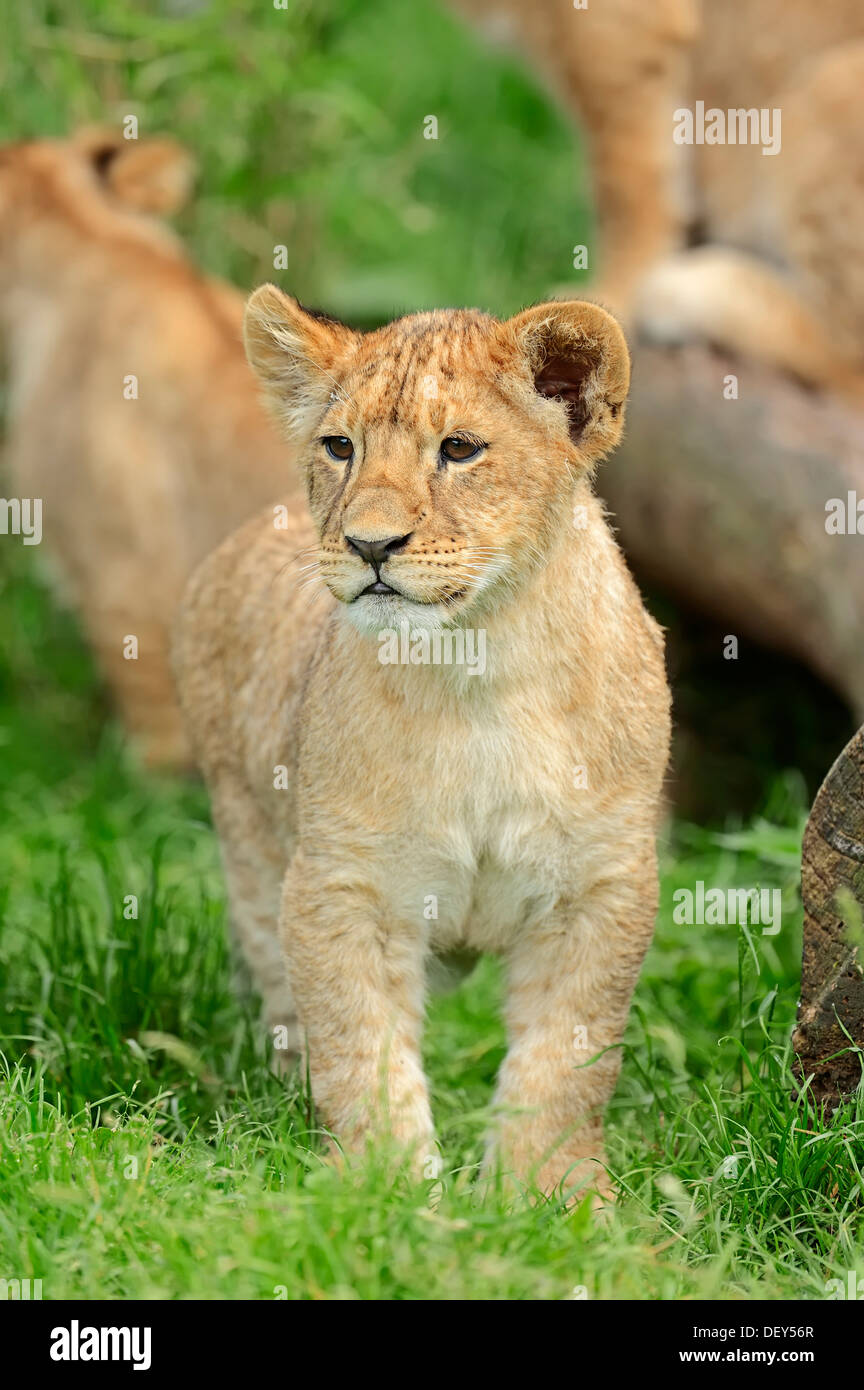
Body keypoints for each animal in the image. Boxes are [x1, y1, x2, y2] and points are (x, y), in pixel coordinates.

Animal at [174, 285, 671, 1198]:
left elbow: (567, 1060)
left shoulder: (599, 885)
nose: (369, 544)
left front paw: (549, 1198)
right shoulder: (341, 886)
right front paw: (387, 1193)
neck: (476, 671)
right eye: (340, 446)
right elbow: (360, 1052)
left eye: (460, 449)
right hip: (251, 850)